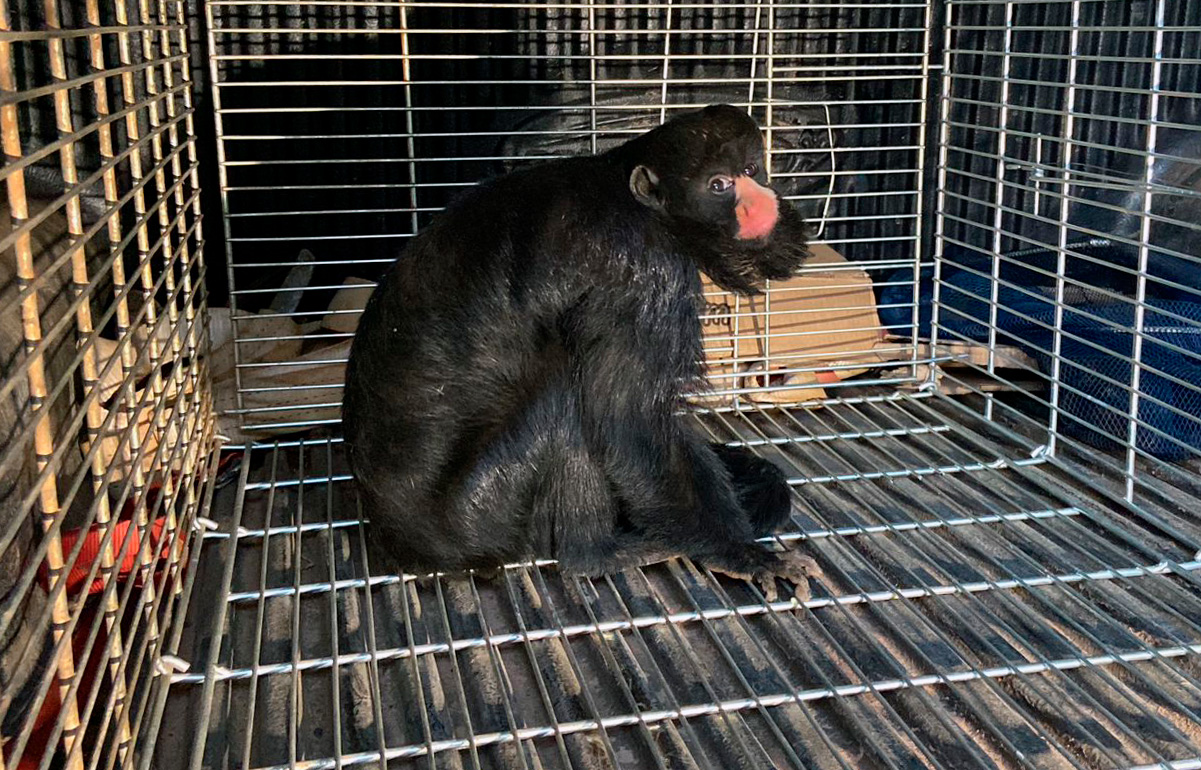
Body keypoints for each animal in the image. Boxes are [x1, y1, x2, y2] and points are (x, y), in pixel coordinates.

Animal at [343, 104, 819, 600]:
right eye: (720, 185)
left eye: (751, 170)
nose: (761, 200)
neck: (625, 186)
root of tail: (401, 540)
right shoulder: (642, 268)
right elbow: (629, 423)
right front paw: (743, 554)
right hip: (478, 514)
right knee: (564, 390)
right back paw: (594, 553)